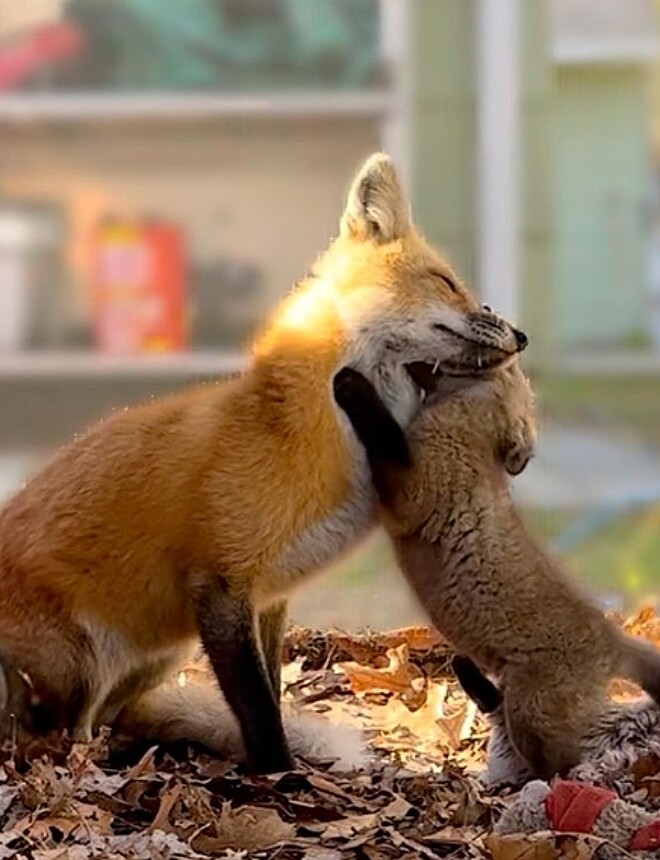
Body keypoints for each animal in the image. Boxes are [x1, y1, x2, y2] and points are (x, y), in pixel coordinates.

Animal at [0, 153, 527, 774]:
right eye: (446, 281)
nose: (522, 335)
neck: (316, 429)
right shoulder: (221, 582)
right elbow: (255, 704)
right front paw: (281, 774)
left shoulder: (270, 596)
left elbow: (273, 688)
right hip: (81, 664)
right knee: (54, 731)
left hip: (160, 653)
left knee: (104, 721)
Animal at [332, 363, 660, 781]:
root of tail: (612, 638)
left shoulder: (410, 493)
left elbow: (383, 435)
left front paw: (351, 384)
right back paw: (467, 672)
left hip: (530, 716)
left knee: (562, 759)